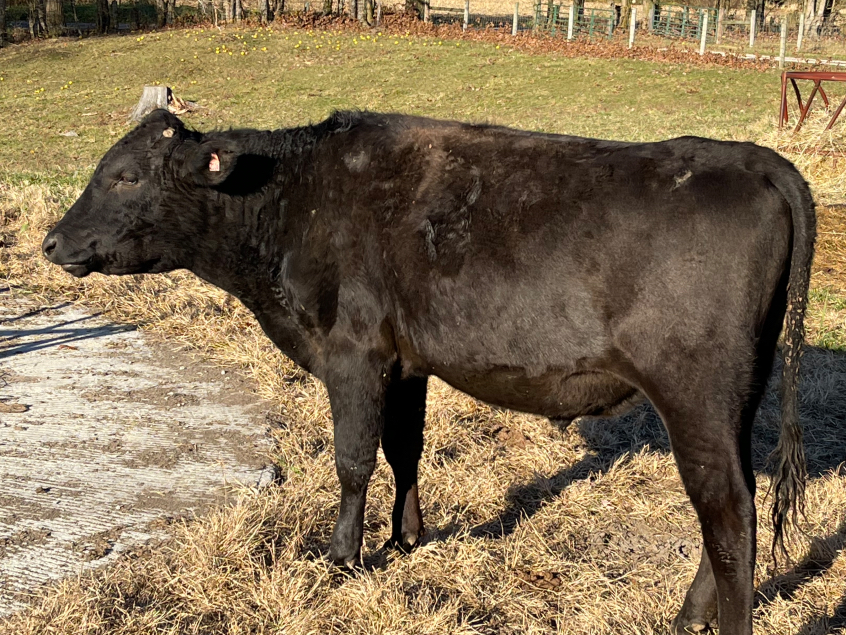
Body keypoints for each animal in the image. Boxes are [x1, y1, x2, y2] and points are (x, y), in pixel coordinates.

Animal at [42, 109, 815, 635]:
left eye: (126, 175)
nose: (53, 241)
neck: (297, 198)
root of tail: (754, 161)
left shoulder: (354, 351)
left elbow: (353, 458)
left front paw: (341, 557)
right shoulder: (405, 359)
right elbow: (403, 448)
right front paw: (405, 537)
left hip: (695, 396)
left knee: (728, 512)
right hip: (732, 401)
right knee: (731, 502)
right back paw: (690, 613)